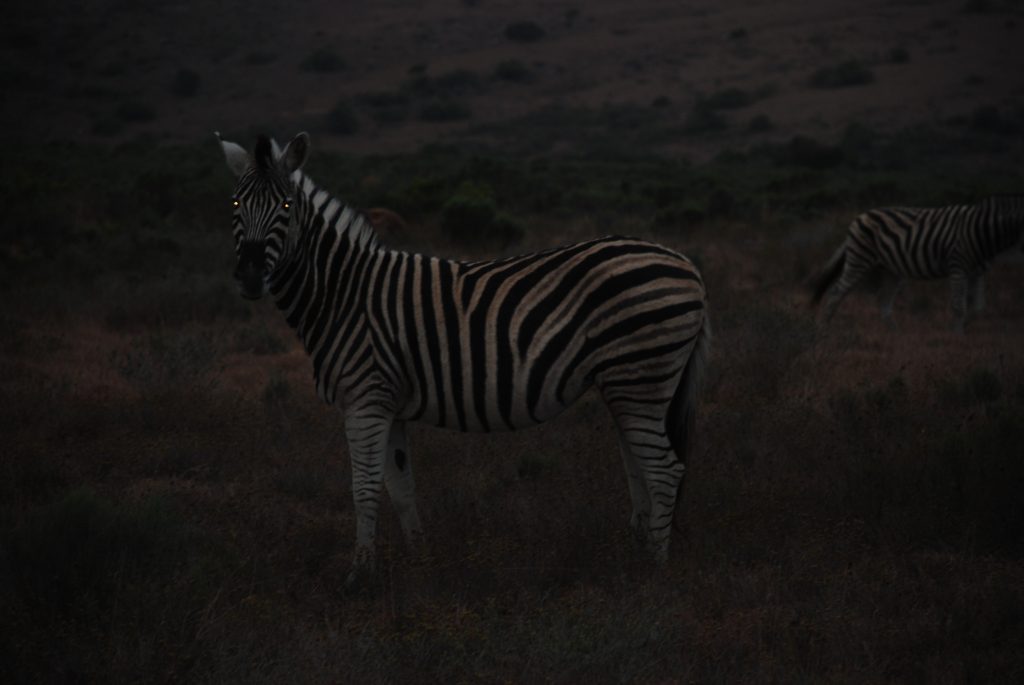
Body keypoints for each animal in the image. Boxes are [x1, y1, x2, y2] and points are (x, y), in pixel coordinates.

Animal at [216, 131, 710, 587]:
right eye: (236, 203)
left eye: (285, 206)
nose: (250, 277)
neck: (342, 294)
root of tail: (688, 265)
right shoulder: (390, 404)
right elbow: (401, 488)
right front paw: (420, 565)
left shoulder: (364, 399)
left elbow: (363, 489)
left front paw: (359, 576)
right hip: (627, 386)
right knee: (641, 469)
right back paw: (634, 551)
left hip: (640, 378)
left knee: (665, 471)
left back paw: (654, 572)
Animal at [810, 196, 1024, 331]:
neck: (985, 233)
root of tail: (860, 216)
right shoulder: (958, 266)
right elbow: (958, 306)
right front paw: (956, 334)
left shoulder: (978, 271)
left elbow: (978, 309)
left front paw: (965, 327)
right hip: (859, 259)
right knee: (837, 291)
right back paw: (823, 329)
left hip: (891, 270)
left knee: (883, 301)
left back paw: (896, 334)